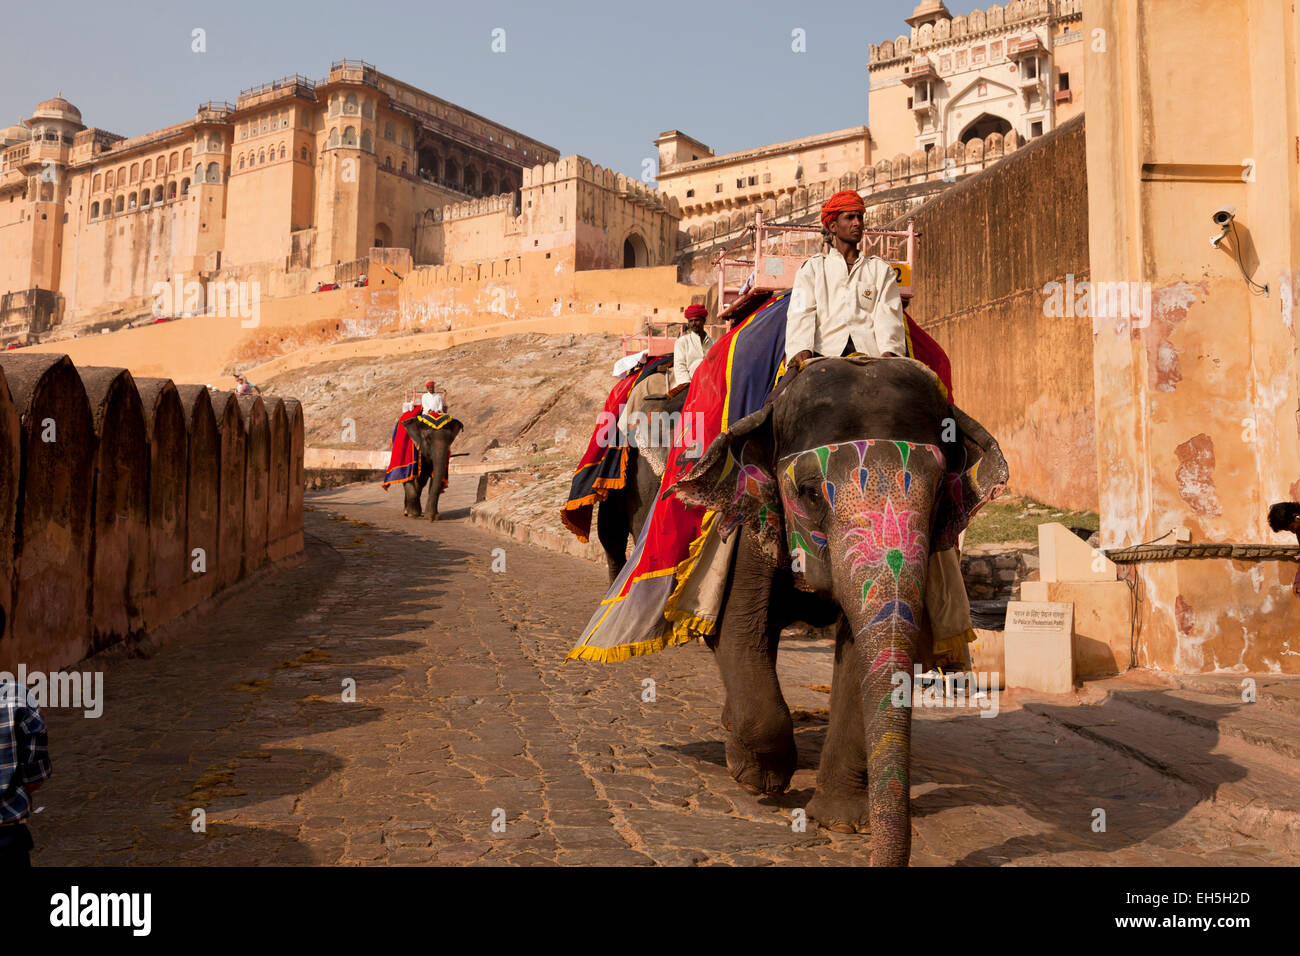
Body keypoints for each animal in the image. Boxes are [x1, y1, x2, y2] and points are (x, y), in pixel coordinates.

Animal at [672, 355, 1007, 866]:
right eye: (810, 493)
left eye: (937, 499)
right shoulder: (755, 520)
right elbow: (737, 630)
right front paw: (758, 780)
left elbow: (857, 659)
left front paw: (844, 823)